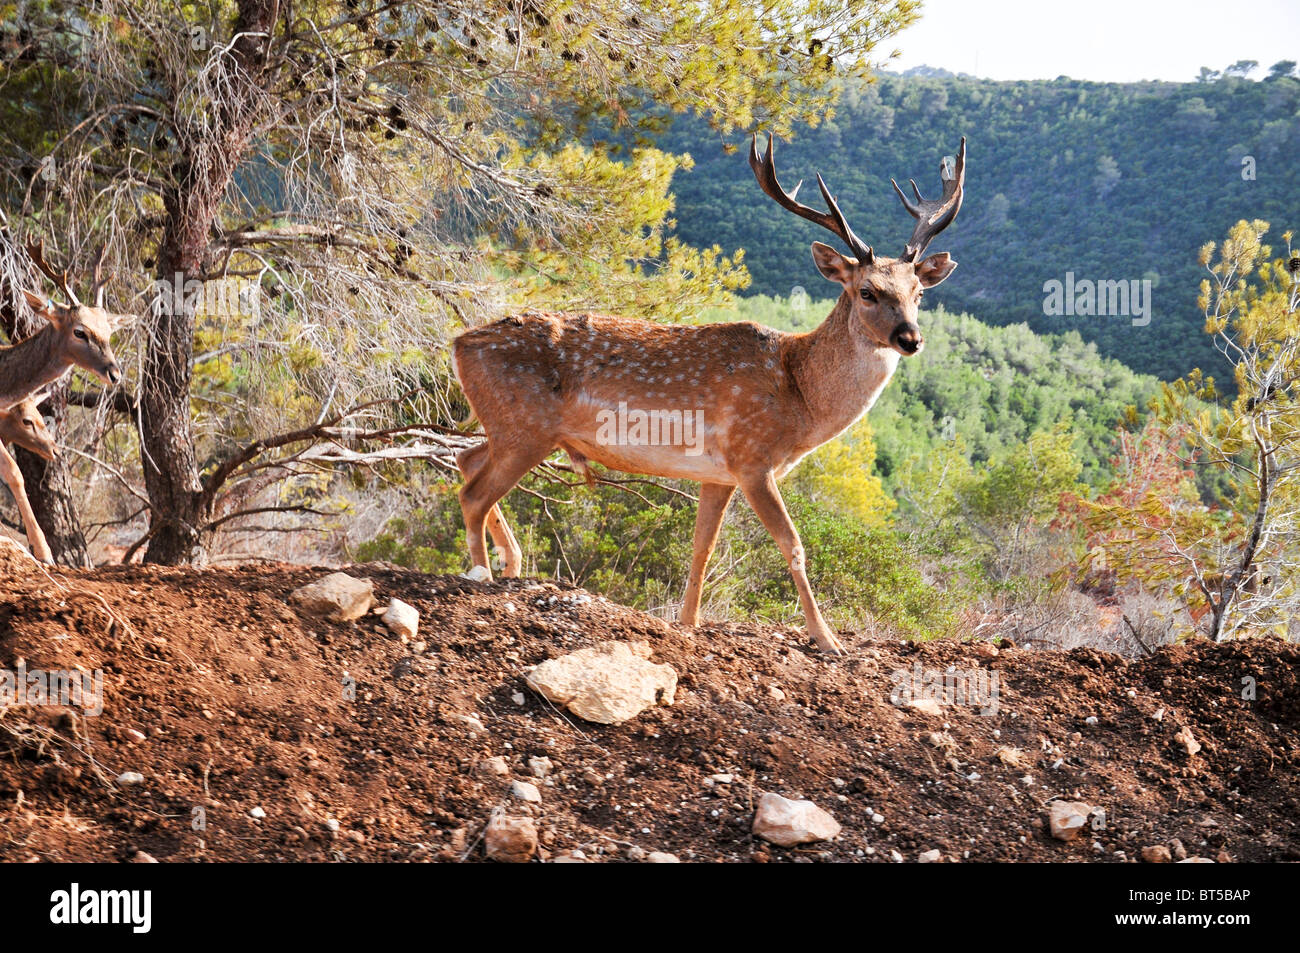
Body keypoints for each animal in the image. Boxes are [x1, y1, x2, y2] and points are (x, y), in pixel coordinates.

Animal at [451, 134, 966, 653]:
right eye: (867, 291)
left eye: (919, 292)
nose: (911, 339)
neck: (799, 397)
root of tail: (459, 343)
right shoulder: (752, 457)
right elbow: (793, 545)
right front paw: (827, 640)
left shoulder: (719, 473)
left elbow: (703, 546)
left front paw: (688, 622)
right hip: (525, 427)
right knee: (473, 493)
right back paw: (480, 575)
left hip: (511, 428)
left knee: (466, 460)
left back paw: (511, 561)